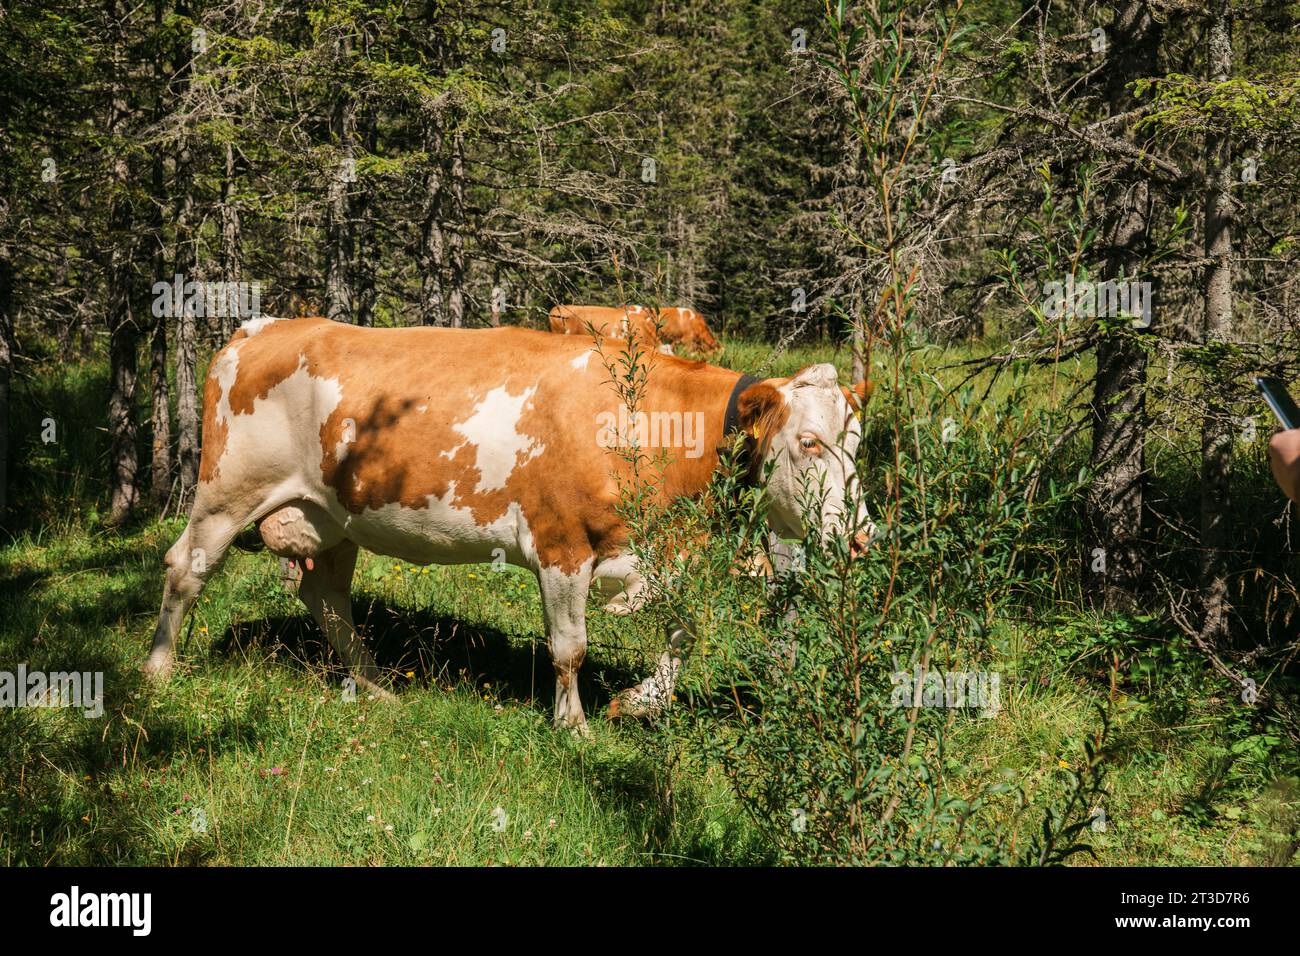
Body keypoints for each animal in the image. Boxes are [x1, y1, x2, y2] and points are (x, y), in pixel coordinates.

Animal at [144, 316, 872, 733]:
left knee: (325, 595)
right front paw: (573, 728)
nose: (863, 536)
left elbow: (687, 630)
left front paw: (638, 702)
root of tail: (259, 328)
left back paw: (377, 687)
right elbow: (570, 648)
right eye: (809, 442)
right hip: (227, 489)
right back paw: (156, 672)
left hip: (333, 515)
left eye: (858, 442)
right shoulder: (561, 543)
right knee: (185, 569)